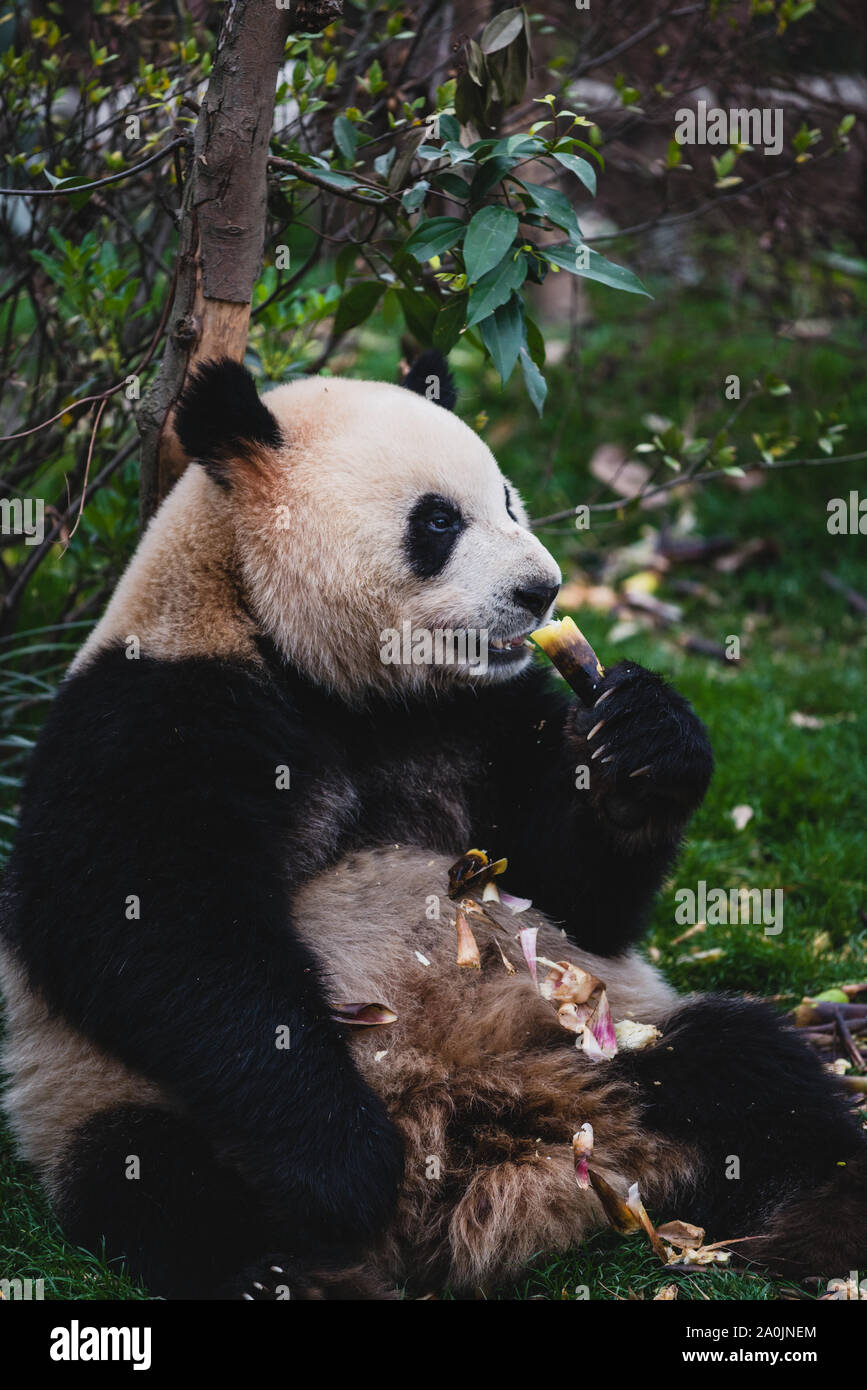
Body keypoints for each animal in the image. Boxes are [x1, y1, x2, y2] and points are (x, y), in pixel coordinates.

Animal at [1, 352, 865, 1300]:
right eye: (439, 521)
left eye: (510, 500)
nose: (540, 590)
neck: (326, 672)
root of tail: (493, 1151)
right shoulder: (154, 711)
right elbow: (147, 929)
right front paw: (345, 1164)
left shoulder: (482, 718)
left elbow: (578, 895)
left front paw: (643, 739)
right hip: (107, 1097)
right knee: (152, 1177)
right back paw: (282, 1266)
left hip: (597, 1042)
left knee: (746, 1067)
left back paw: (827, 1215)